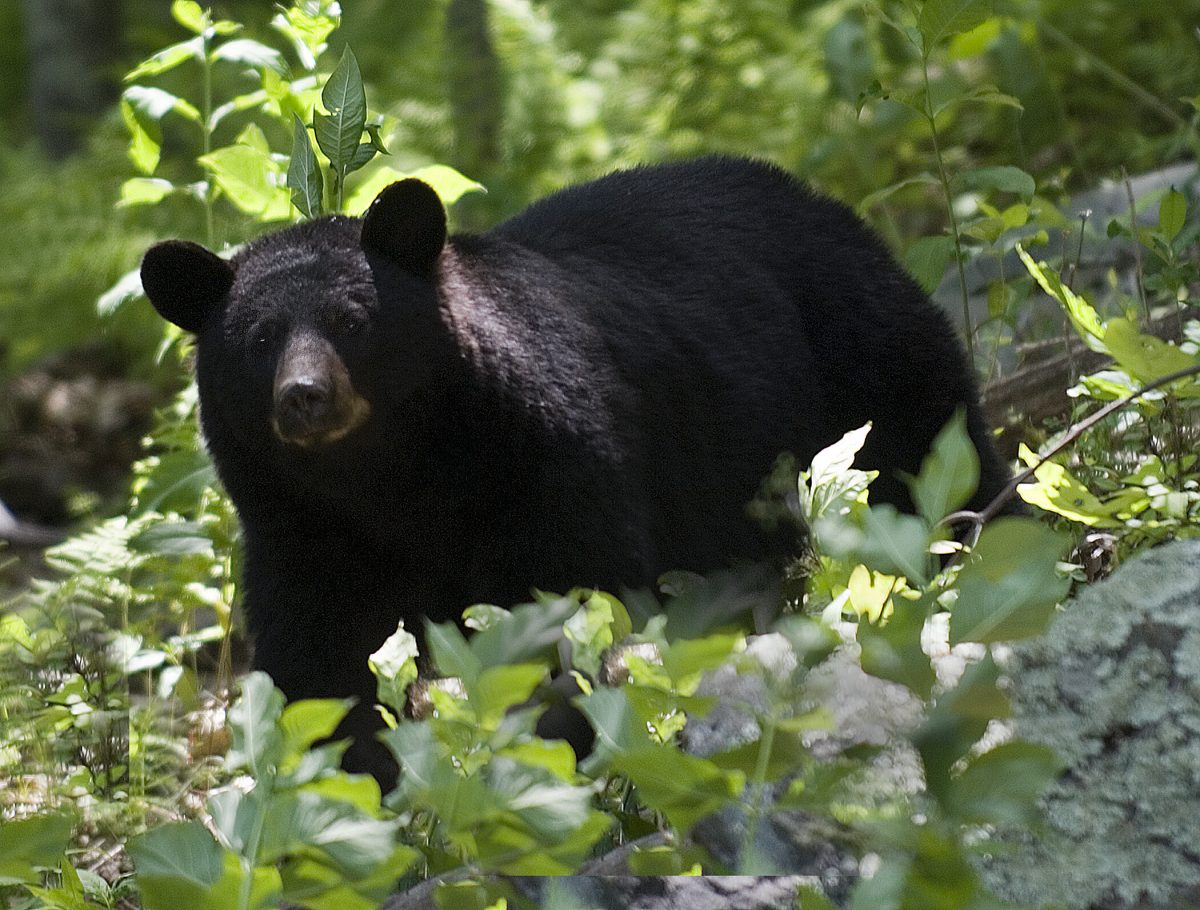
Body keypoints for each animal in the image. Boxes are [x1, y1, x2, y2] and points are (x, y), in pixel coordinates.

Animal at [140, 155, 1012, 781]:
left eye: (352, 321)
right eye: (258, 340)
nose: (304, 397)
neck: (398, 480)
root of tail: (820, 198)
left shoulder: (544, 460)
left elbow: (559, 607)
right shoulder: (307, 533)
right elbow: (321, 662)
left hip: (858, 358)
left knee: (933, 462)